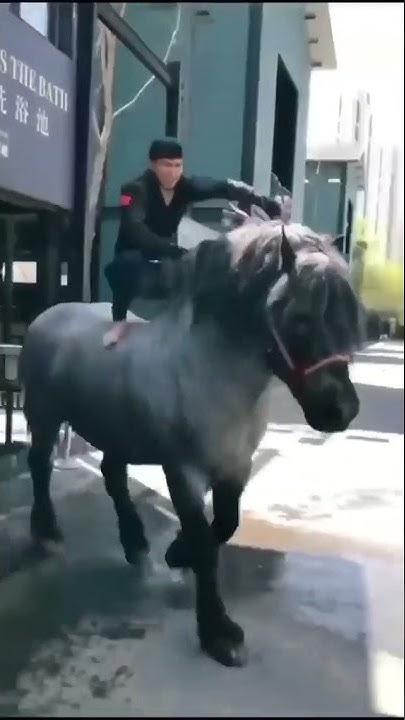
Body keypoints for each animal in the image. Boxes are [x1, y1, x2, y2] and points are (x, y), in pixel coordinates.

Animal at [19, 211, 364, 668]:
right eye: (300, 318)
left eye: (346, 318)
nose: (341, 410)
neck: (210, 374)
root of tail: (48, 315)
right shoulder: (183, 470)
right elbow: (204, 542)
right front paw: (218, 632)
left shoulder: (236, 467)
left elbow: (225, 526)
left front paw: (174, 553)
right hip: (43, 416)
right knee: (40, 465)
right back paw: (48, 532)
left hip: (115, 429)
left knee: (113, 477)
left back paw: (136, 545)